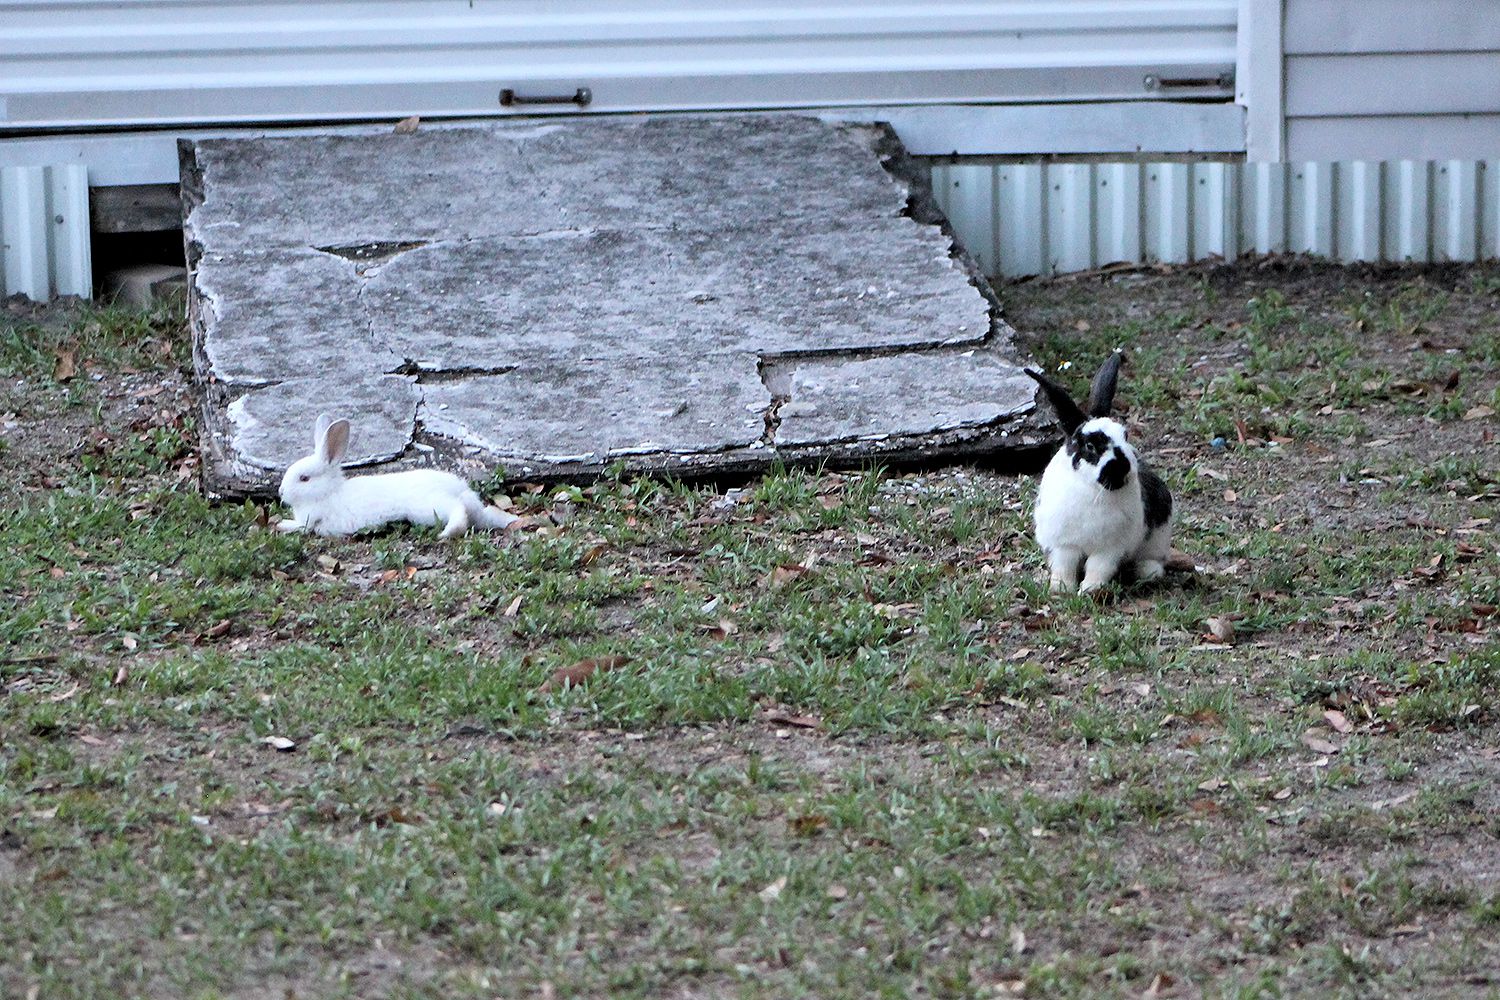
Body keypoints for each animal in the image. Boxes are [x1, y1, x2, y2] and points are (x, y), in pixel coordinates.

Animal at [277, 414, 518, 538]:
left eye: (304, 478)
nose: (281, 492)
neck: (327, 491)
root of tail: (461, 490)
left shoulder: (310, 520)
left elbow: (302, 527)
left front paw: (281, 525)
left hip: (428, 508)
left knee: (458, 512)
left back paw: (447, 533)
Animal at [1023, 350, 1173, 594]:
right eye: (1090, 446)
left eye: (1125, 435)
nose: (1123, 468)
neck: (1091, 491)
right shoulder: (1063, 545)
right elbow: (1064, 566)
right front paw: (1061, 589)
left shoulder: (1109, 550)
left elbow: (1098, 568)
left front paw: (1089, 590)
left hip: (1157, 539)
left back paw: (1146, 572)